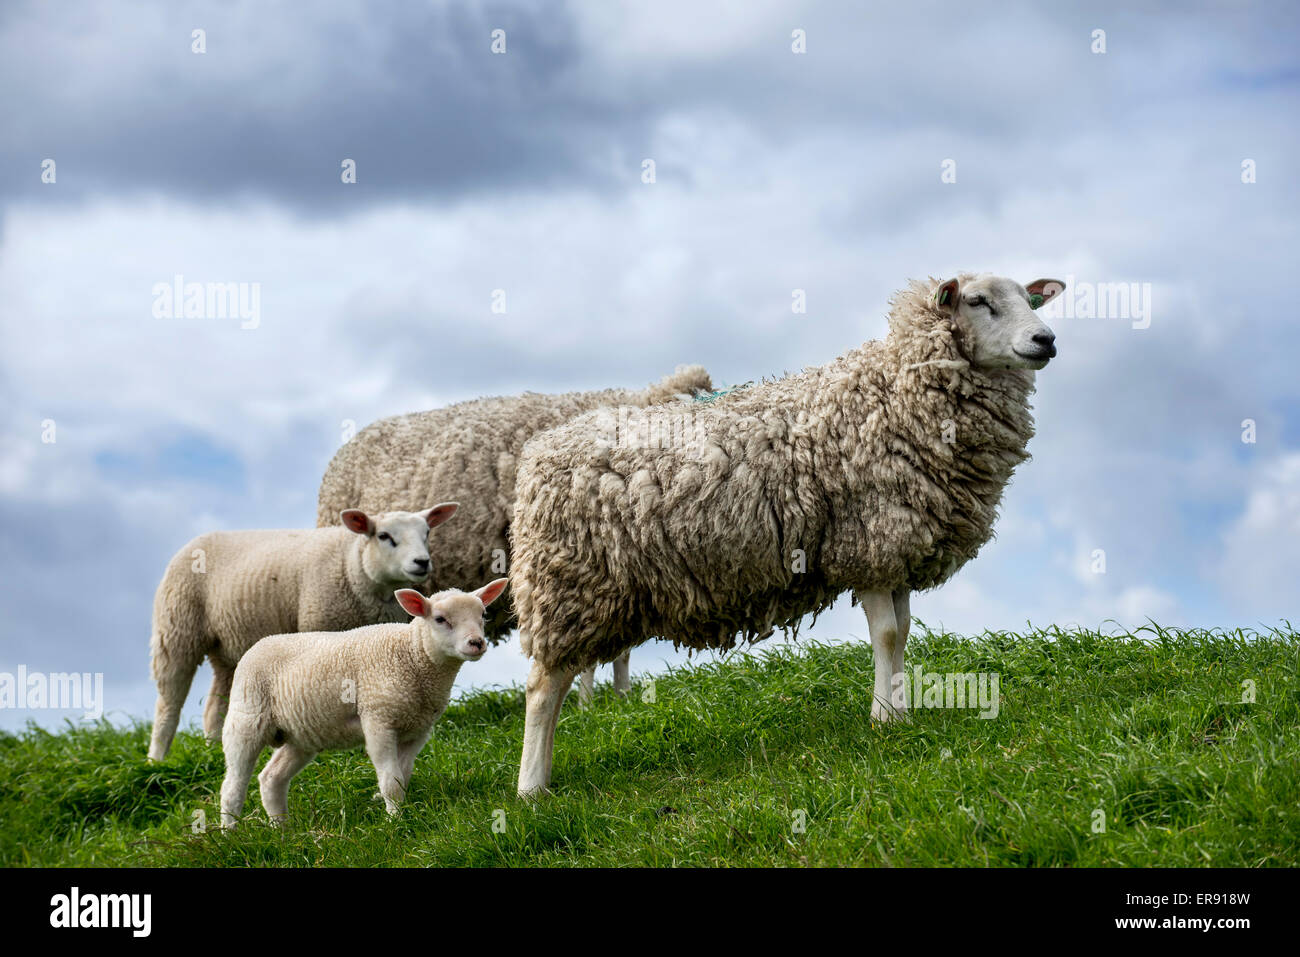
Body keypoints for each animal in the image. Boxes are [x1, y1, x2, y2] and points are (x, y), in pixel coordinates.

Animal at [147, 503, 458, 762]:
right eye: (384, 536)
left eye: (427, 532)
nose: (422, 562)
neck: (352, 566)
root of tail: (194, 541)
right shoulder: (320, 628)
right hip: (176, 630)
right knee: (168, 703)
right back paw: (156, 759)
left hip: (227, 648)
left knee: (215, 703)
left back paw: (212, 750)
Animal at [219, 579, 508, 827]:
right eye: (440, 619)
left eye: (483, 614)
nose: (476, 643)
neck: (412, 656)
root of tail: (257, 646)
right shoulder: (378, 719)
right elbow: (391, 781)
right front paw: (395, 822)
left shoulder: (418, 730)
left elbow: (403, 776)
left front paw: (398, 811)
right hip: (245, 719)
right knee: (232, 786)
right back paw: (229, 832)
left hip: (301, 736)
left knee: (271, 779)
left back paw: (282, 830)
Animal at [509, 274, 1064, 795]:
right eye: (977, 301)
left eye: (1029, 299)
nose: (1045, 340)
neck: (894, 391)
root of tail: (538, 454)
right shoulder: (866, 541)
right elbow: (886, 633)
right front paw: (885, 719)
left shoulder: (898, 547)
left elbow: (902, 632)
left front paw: (900, 712)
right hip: (567, 589)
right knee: (541, 688)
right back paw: (531, 789)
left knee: (558, 683)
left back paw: (548, 777)